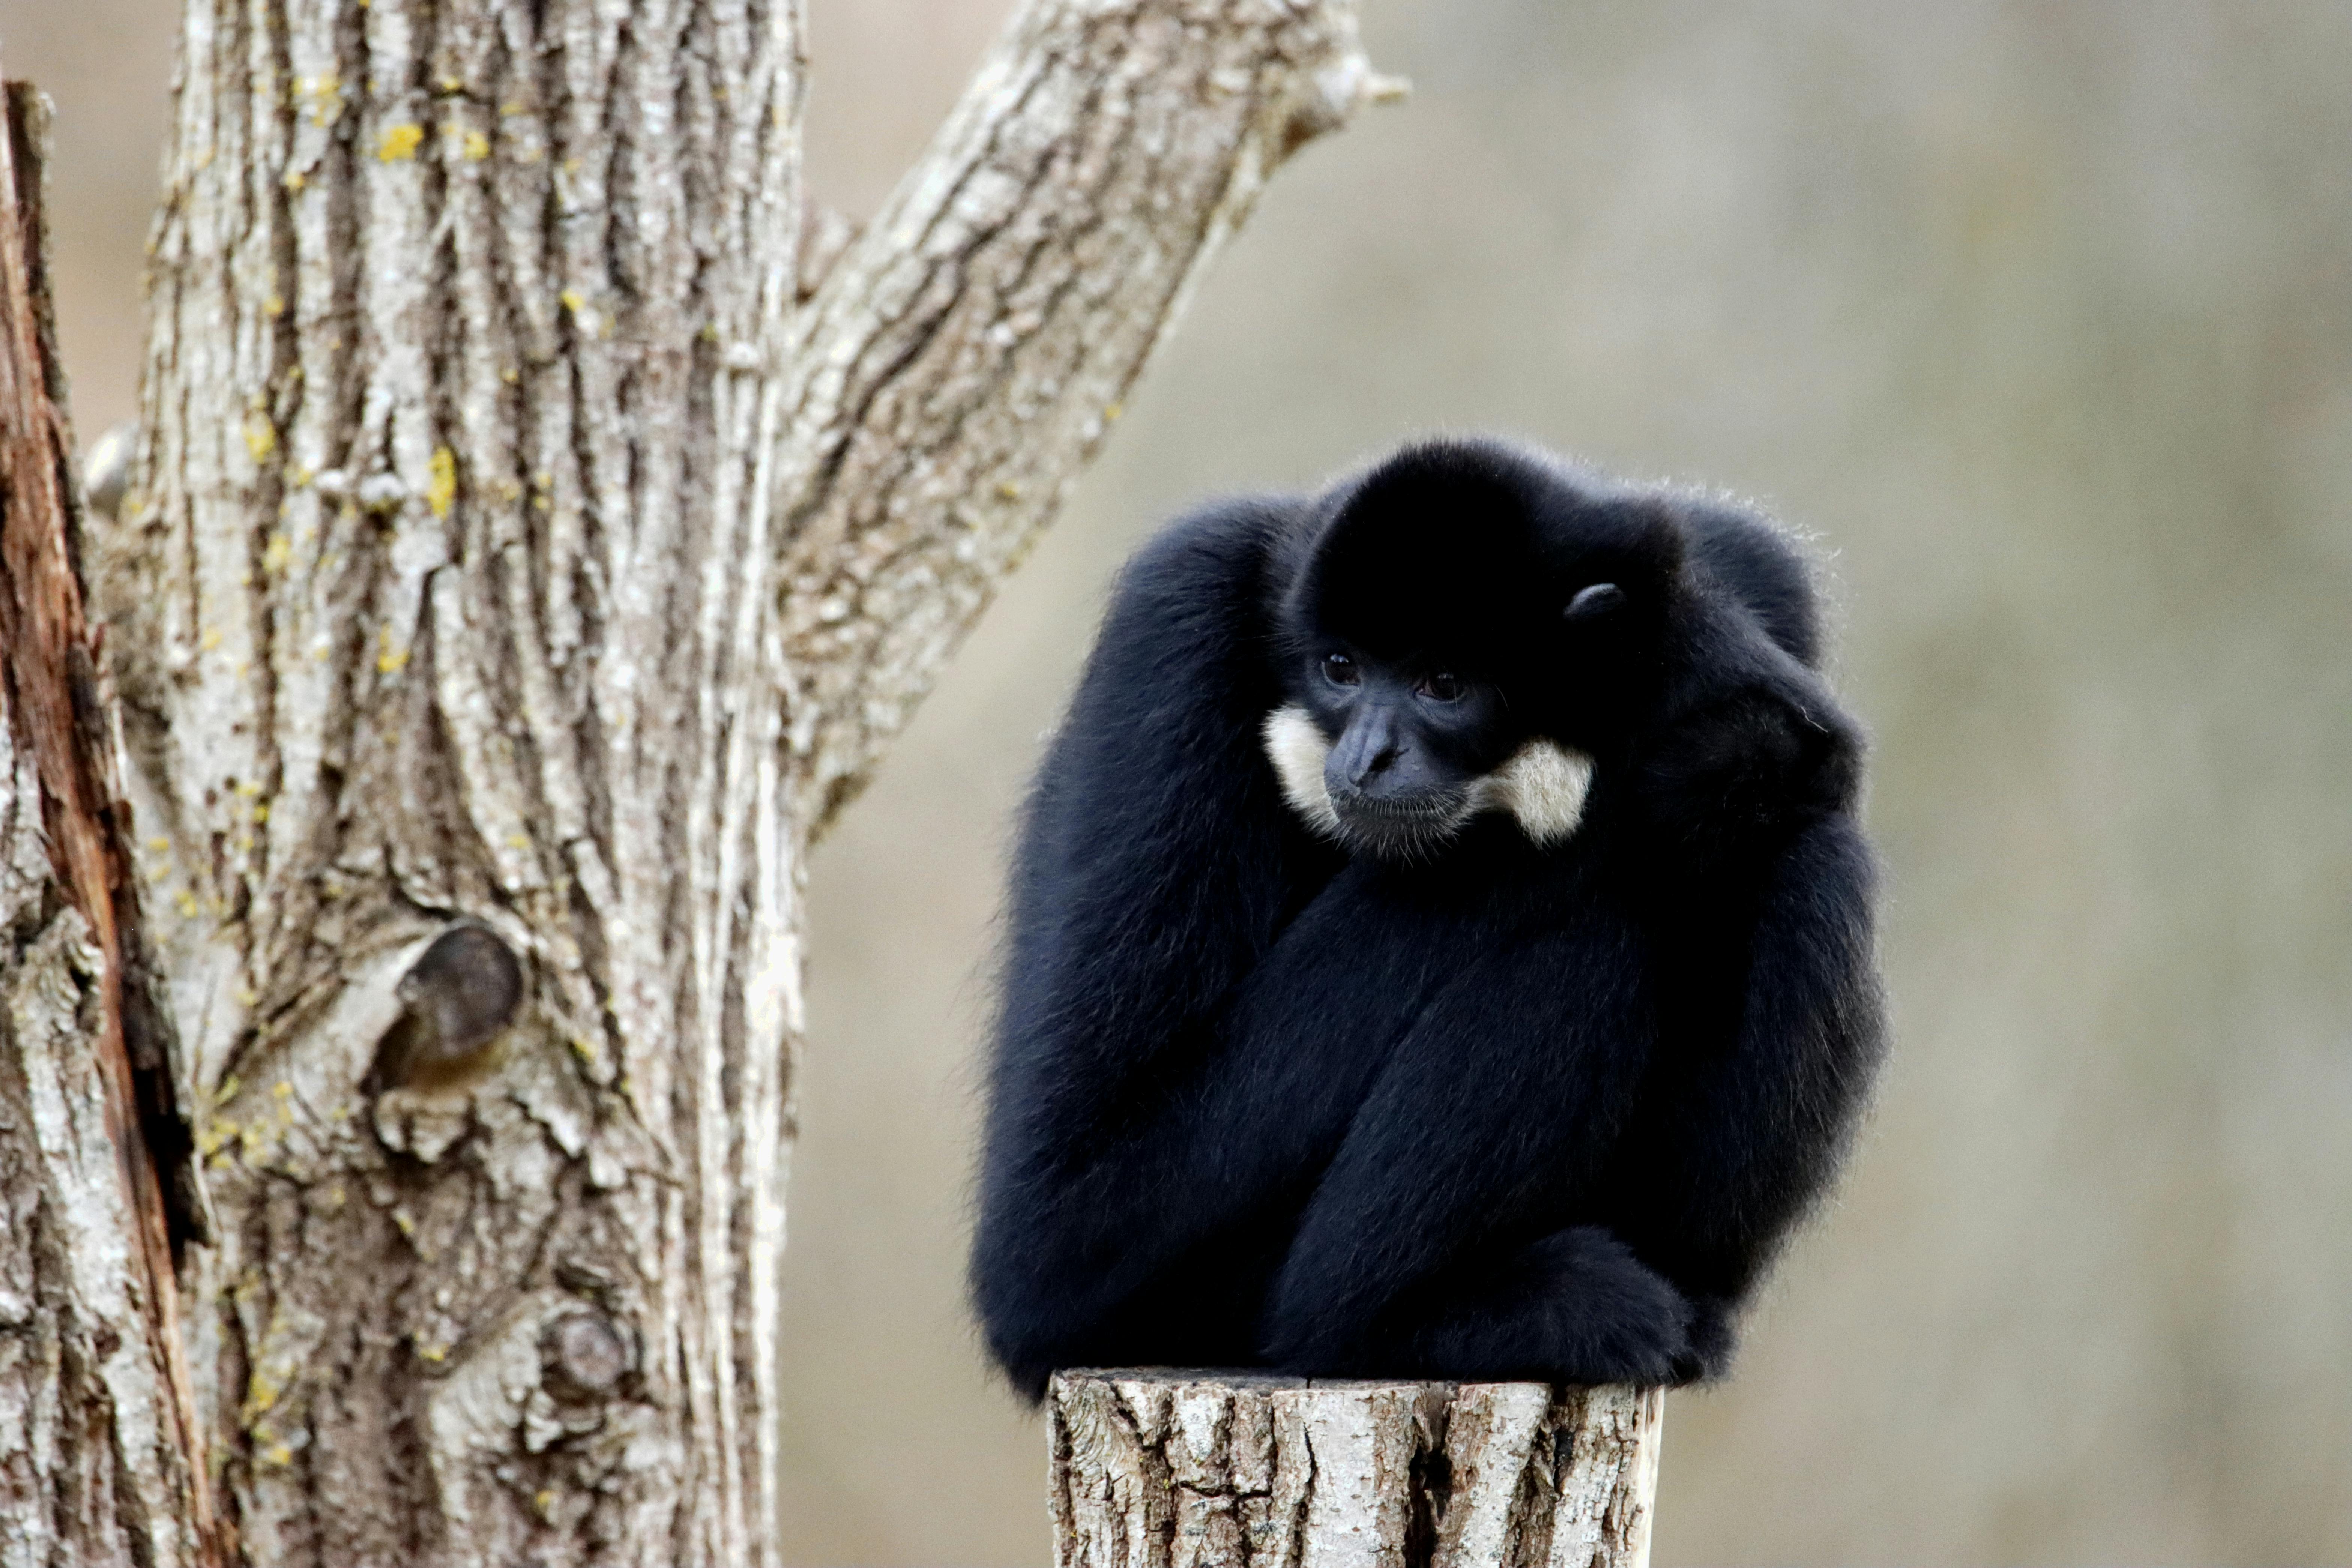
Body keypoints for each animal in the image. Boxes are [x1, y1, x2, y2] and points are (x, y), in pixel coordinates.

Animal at [970, 436, 1883, 1398]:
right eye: (1340, 670)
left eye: (1441, 685)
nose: (1368, 754)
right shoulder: (1178, 608)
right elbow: (1058, 1231)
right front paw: (1692, 750)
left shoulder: (1766, 573)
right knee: (1602, 925)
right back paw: (1391, 1318)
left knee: (1811, 865)